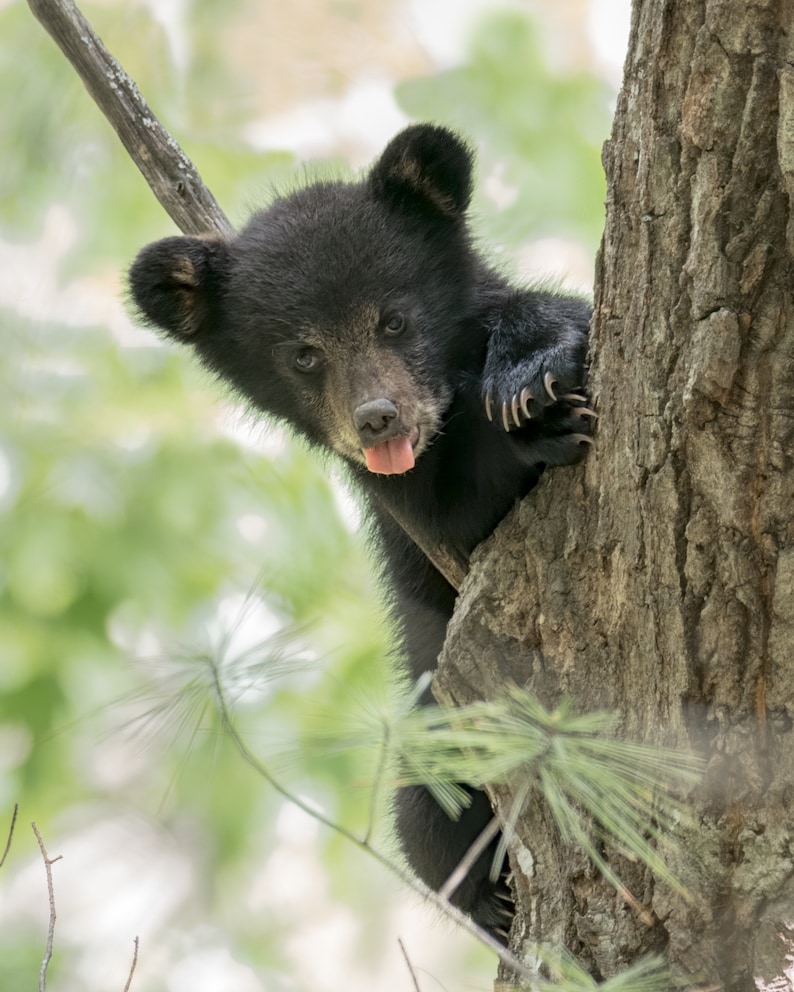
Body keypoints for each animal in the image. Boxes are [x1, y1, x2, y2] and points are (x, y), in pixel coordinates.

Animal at [128, 123, 593, 940]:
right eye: (303, 354)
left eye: (395, 320)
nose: (378, 416)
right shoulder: (399, 506)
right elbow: (452, 514)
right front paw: (531, 426)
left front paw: (532, 371)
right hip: (435, 739)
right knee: (426, 818)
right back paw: (493, 902)